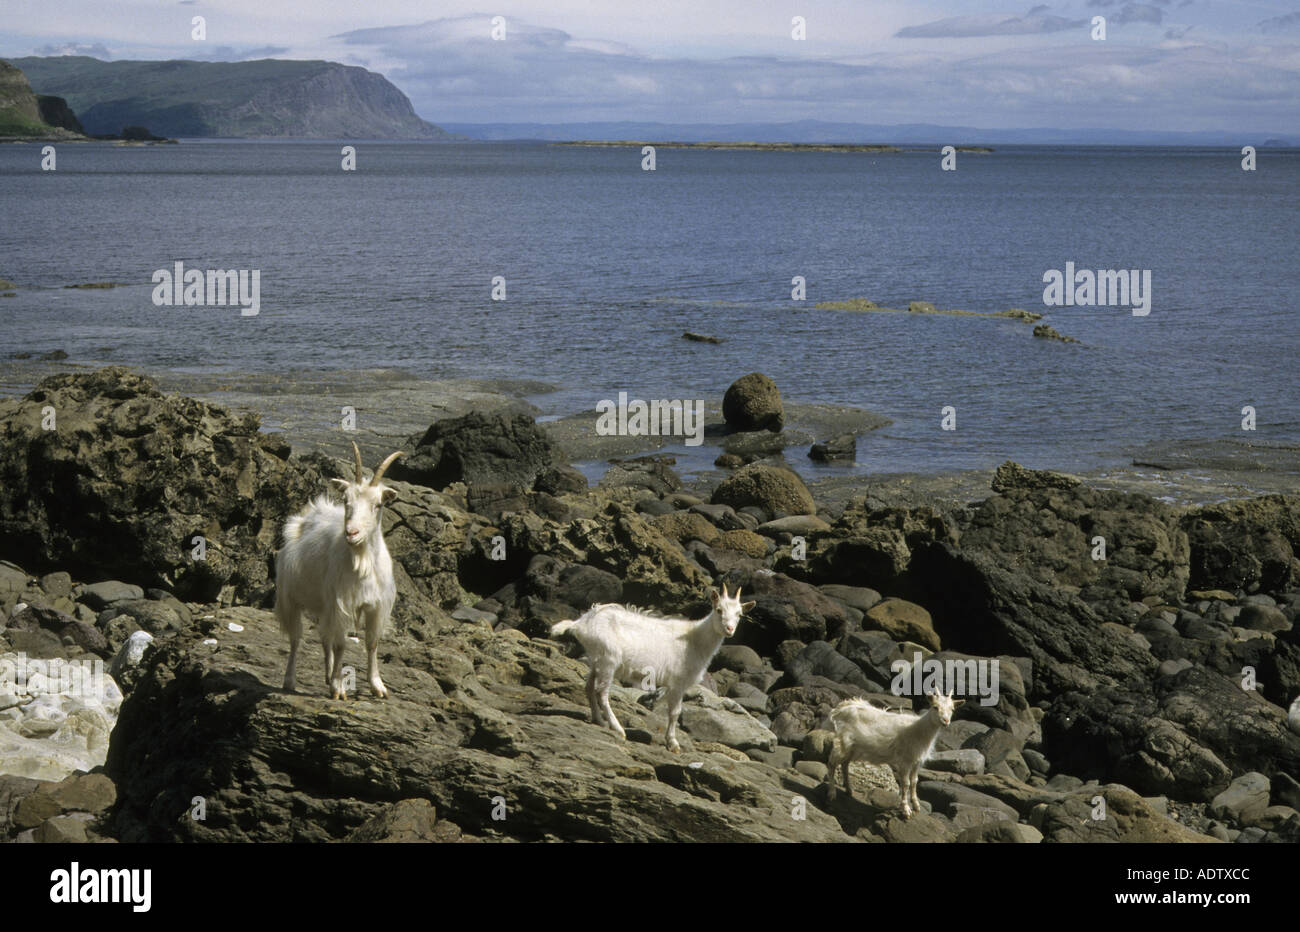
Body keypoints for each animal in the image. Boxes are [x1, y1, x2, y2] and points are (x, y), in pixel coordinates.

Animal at [274, 442, 403, 700]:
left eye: (378, 505)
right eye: (346, 500)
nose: (351, 532)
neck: (362, 561)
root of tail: (307, 515)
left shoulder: (375, 606)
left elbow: (371, 643)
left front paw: (377, 686)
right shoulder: (341, 604)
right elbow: (341, 644)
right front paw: (338, 688)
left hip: (324, 604)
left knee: (324, 637)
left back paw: (326, 673)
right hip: (290, 598)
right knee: (296, 639)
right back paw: (290, 680)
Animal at [550, 584, 753, 752]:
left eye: (739, 615)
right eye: (719, 610)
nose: (729, 629)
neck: (694, 639)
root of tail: (580, 624)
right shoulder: (678, 682)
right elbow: (675, 712)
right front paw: (673, 743)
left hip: (597, 660)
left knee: (589, 687)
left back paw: (599, 721)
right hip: (609, 660)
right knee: (602, 692)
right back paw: (618, 728)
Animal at [825, 690, 963, 818]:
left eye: (952, 709)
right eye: (935, 707)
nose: (945, 721)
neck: (919, 730)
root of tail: (839, 709)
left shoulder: (917, 761)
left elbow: (914, 782)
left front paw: (916, 806)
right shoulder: (905, 761)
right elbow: (906, 784)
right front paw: (906, 809)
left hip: (852, 747)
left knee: (844, 765)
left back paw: (849, 790)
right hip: (842, 742)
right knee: (831, 765)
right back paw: (831, 793)